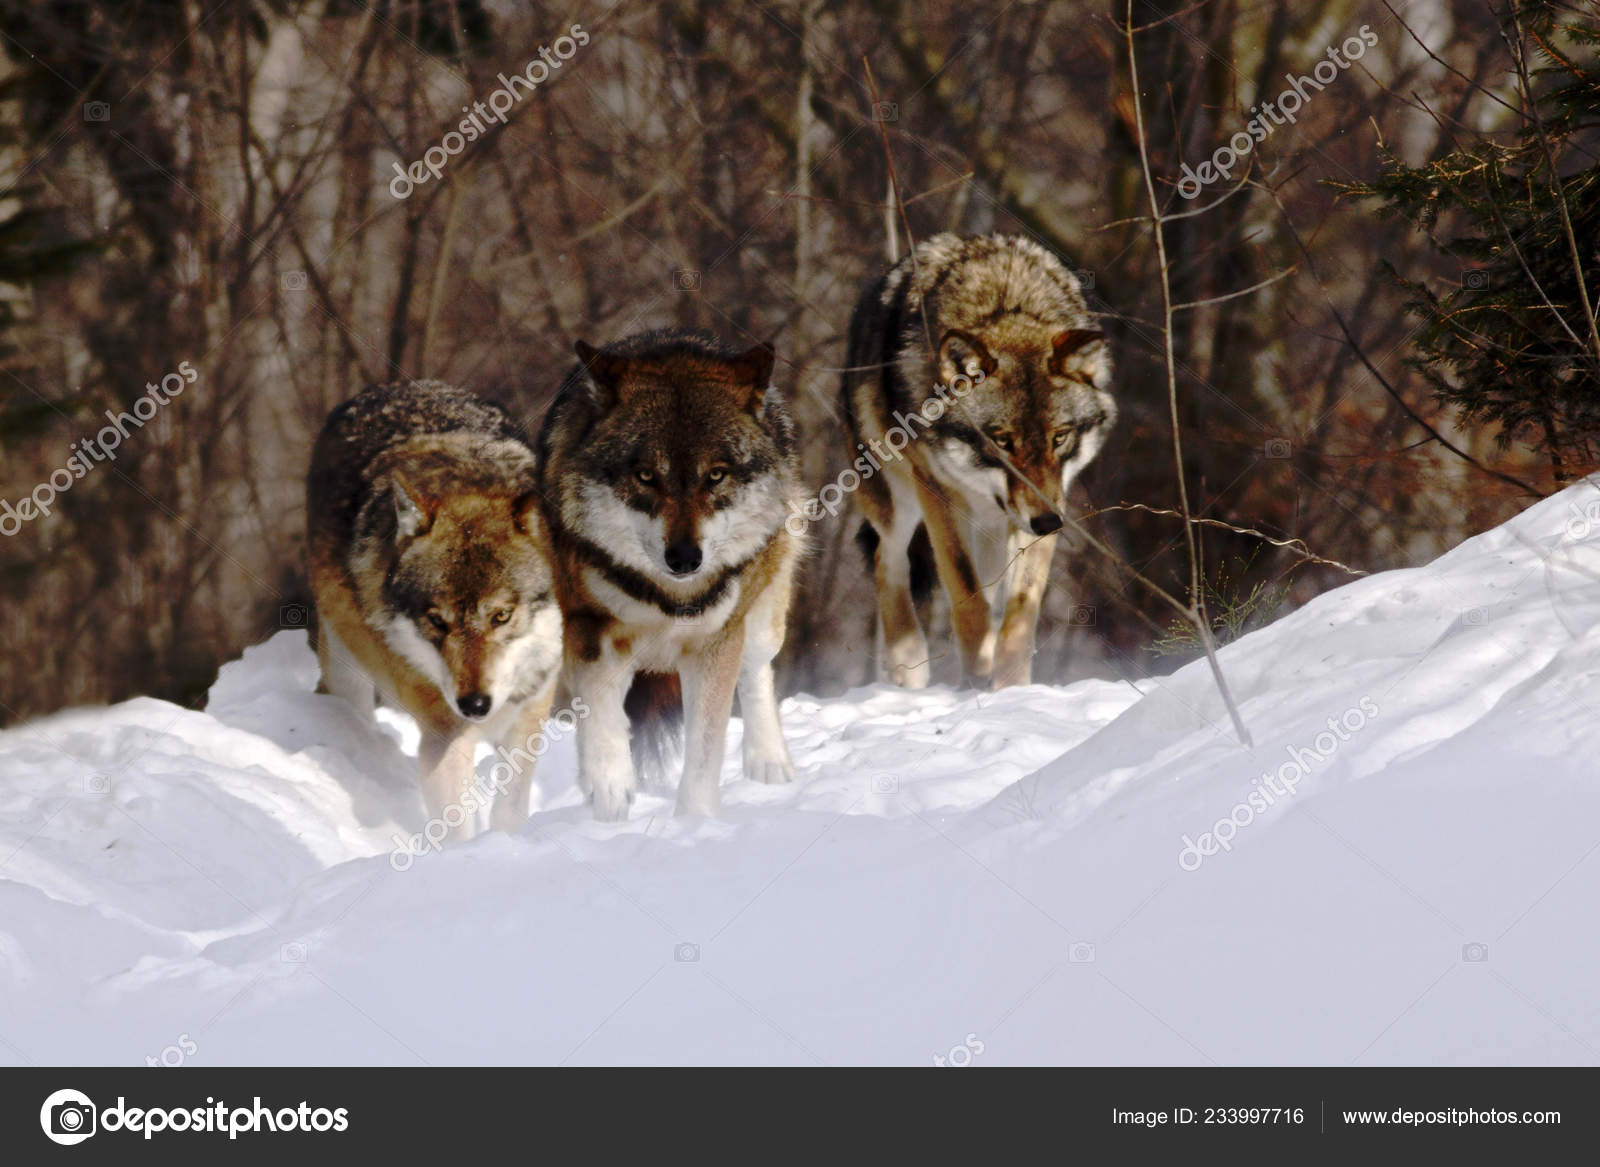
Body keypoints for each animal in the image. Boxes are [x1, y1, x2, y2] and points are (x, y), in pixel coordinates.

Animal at [306, 380, 562, 841]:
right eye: (437, 621)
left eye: (501, 616)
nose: (474, 705)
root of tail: (391, 386)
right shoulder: (446, 736)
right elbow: (455, 824)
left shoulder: (529, 716)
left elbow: (510, 808)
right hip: (346, 671)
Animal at [535, 329, 805, 821]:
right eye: (646, 476)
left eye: (716, 475)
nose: (684, 558)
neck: (668, 598)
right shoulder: (589, 631)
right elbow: (601, 714)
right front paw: (609, 792)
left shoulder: (716, 644)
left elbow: (705, 750)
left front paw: (695, 822)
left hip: (761, 621)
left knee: (757, 671)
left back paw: (769, 761)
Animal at [840, 233, 1115, 689]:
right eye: (1002, 441)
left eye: (1059, 438)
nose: (1048, 523)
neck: (1003, 303)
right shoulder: (936, 489)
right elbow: (965, 594)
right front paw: (979, 667)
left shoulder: (1054, 499)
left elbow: (1021, 610)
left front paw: (1010, 687)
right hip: (896, 501)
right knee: (888, 561)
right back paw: (908, 666)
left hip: (993, 530)